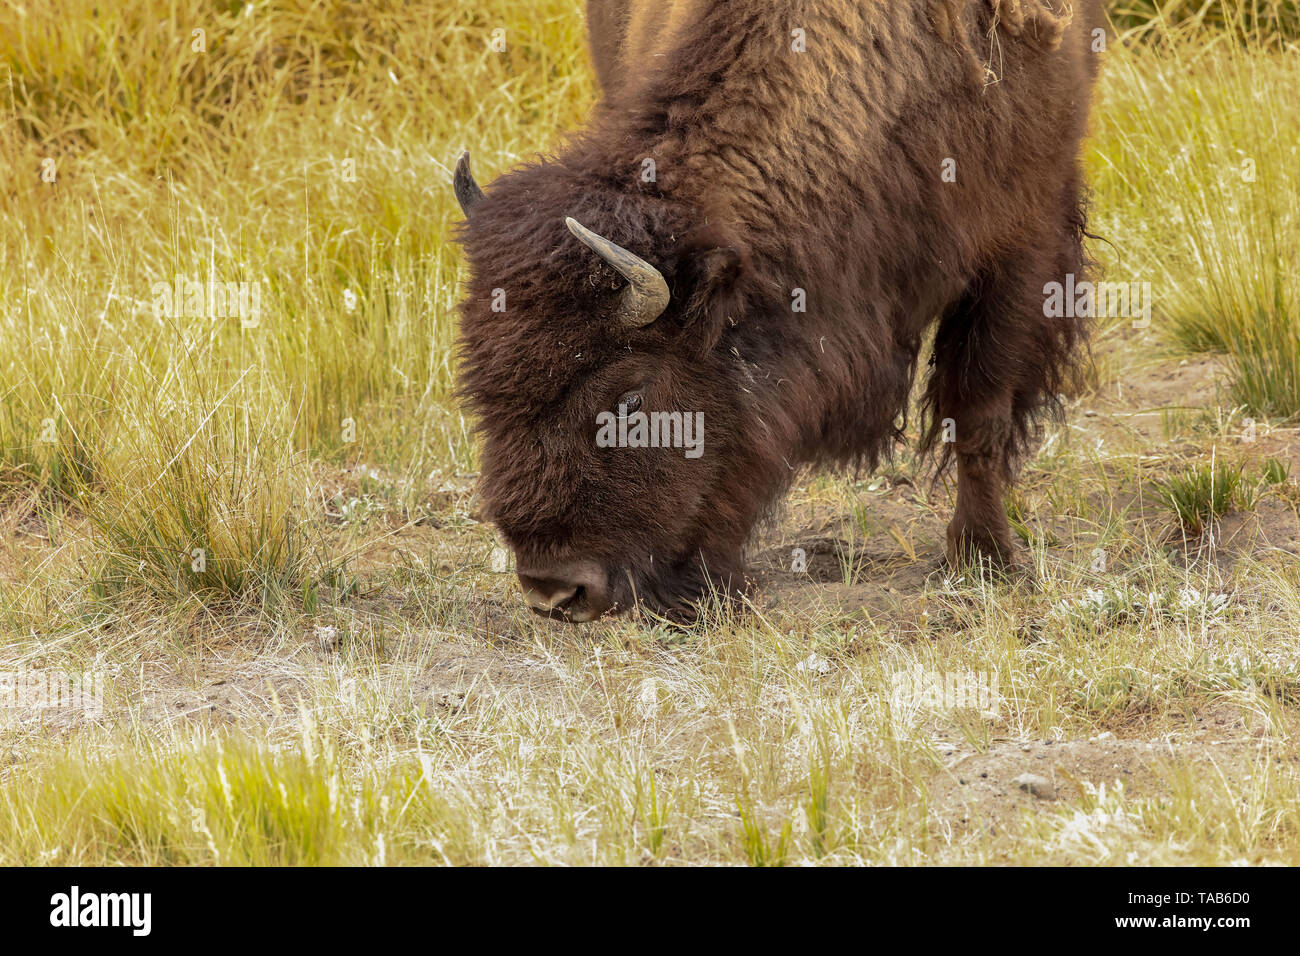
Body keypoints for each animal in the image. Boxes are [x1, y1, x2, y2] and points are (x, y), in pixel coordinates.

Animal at [454, 0, 1103, 622]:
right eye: (484, 389)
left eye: (630, 397)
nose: (556, 589)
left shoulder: (1020, 241)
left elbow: (978, 416)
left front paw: (984, 558)